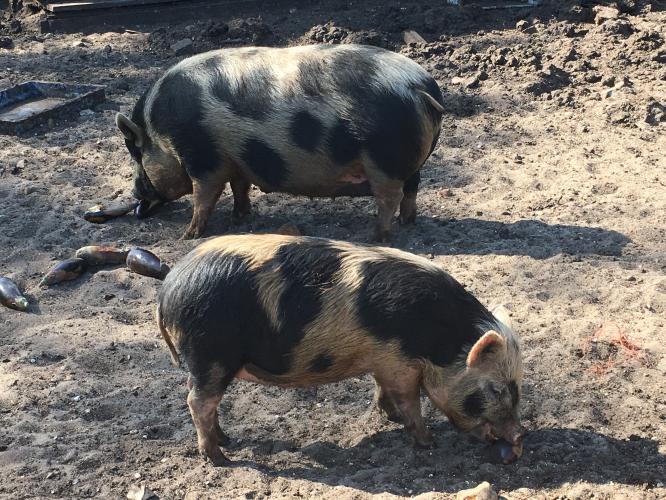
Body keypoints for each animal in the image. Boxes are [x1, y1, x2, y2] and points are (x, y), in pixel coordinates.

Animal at [116, 44, 444, 241]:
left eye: (136, 152)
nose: (135, 191)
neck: (162, 134)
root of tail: (419, 85)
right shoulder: (237, 159)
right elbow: (239, 187)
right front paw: (239, 218)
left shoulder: (203, 157)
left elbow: (204, 196)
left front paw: (188, 235)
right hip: (408, 163)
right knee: (412, 189)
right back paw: (407, 223)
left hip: (383, 161)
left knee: (390, 196)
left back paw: (375, 236)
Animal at [157, 234, 526, 466]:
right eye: (495, 389)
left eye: (516, 385)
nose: (520, 434)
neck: (442, 343)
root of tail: (169, 288)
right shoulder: (399, 362)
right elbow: (409, 400)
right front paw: (427, 441)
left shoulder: (383, 360)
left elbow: (382, 389)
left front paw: (389, 416)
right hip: (211, 353)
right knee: (197, 401)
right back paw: (220, 459)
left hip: (206, 360)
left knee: (200, 398)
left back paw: (226, 440)